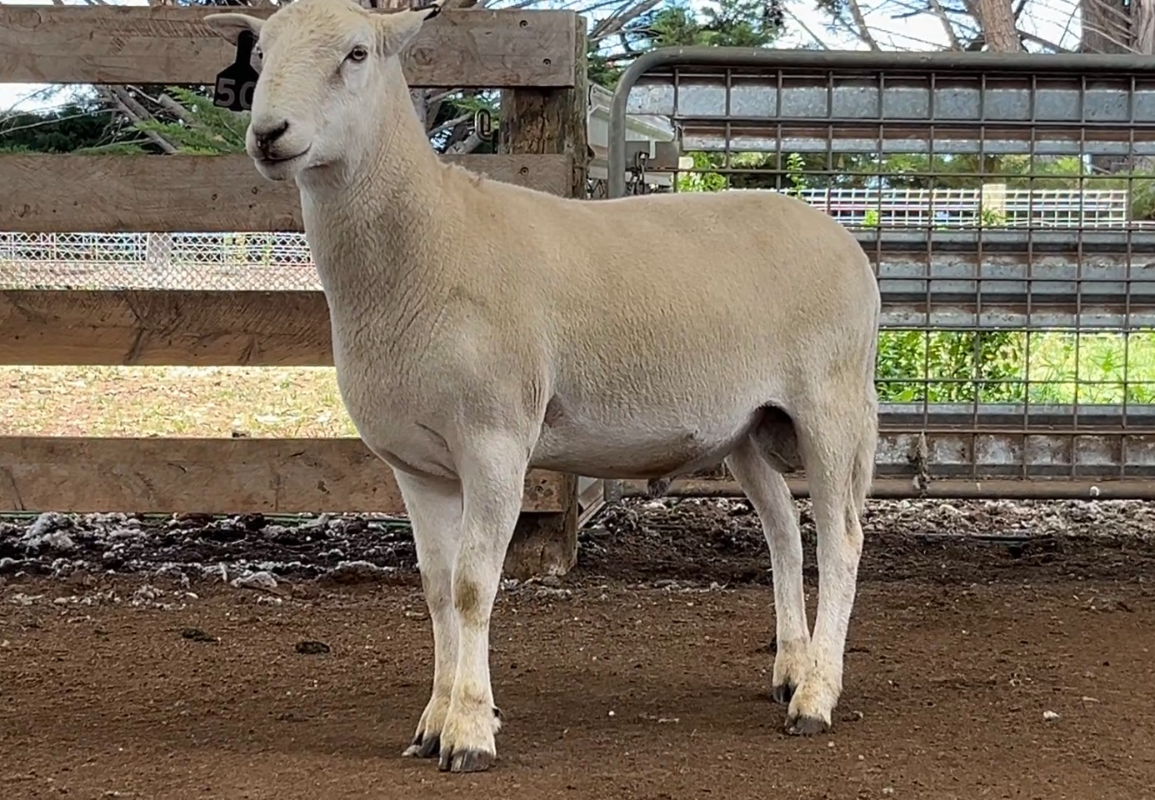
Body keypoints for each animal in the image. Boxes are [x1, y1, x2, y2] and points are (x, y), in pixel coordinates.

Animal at [204, 0, 881, 774]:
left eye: (356, 54)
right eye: (260, 56)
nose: (269, 134)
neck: (427, 242)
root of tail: (840, 238)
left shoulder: (495, 438)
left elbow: (472, 586)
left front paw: (469, 732)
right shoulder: (415, 462)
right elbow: (436, 589)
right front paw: (432, 722)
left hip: (830, 404)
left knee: (841, 539)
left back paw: (817, 698)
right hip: (747, 427)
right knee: (784, 536)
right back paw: (791, 671)